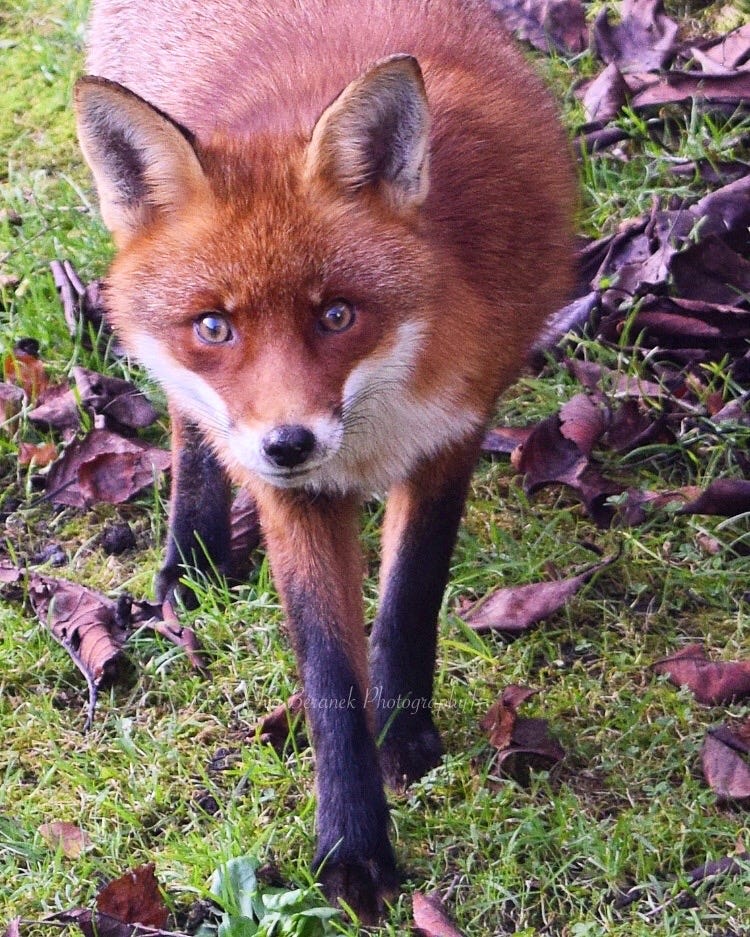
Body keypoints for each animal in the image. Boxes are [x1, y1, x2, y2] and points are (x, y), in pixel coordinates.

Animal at [74, 0, 576, 920]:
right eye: (215, 326)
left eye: (337, 314)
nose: (288, 443)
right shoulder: (294, 496)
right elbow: (330, 674)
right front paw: (351, 849)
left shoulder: (452, 432)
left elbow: (411, 598)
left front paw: (405, 735)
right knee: (189, 425)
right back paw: (191, 555)